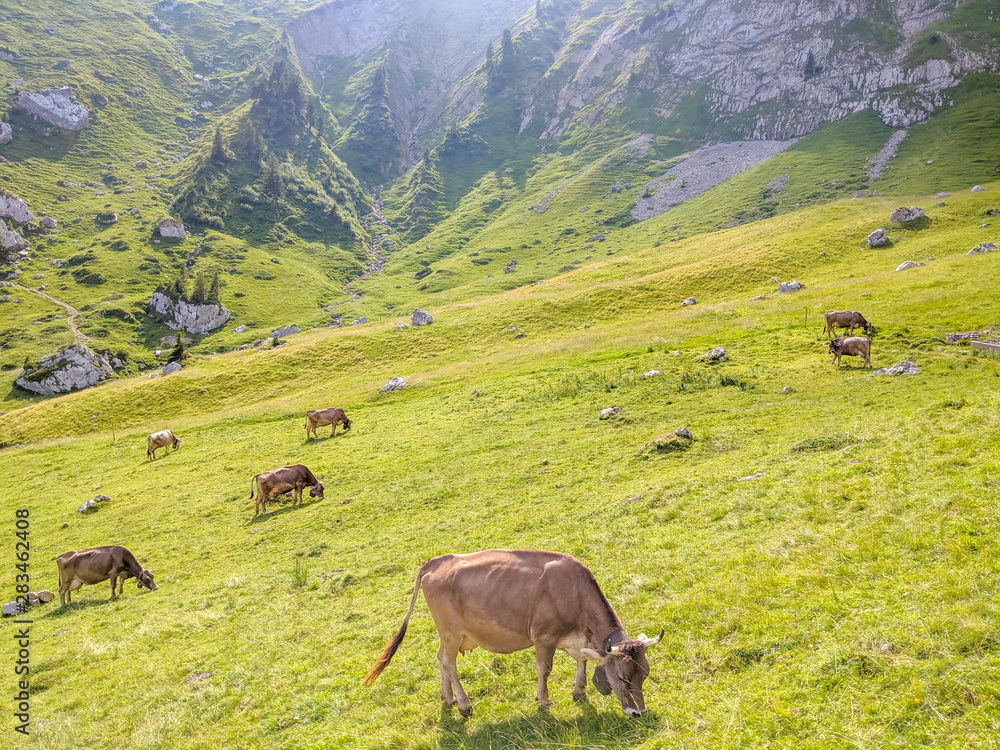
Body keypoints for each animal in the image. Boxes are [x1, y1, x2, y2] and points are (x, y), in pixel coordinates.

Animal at [363, 549, 663, 717]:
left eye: (644, 674)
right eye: (622, 678)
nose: (638, 712)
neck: (574, 590)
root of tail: (437, 561)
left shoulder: (577, 638)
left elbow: (583, 660)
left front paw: (579, 691)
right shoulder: (544, 637)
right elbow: (545, 669)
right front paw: (544, 700)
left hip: (450, 635)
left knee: (440, 659)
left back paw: (448, 698)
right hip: (450, 632)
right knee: (449, 662)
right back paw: (464, 705)